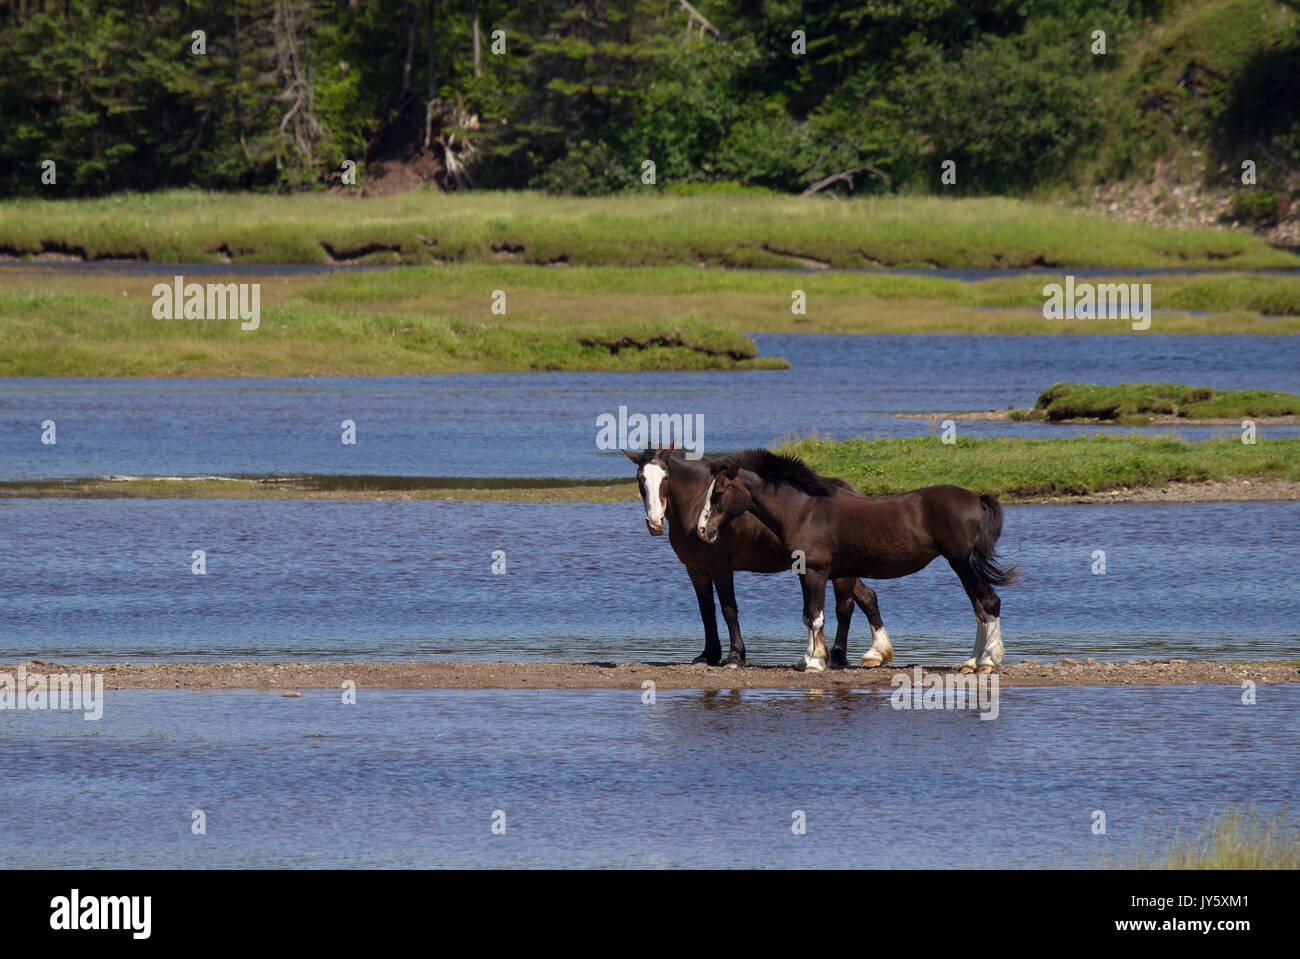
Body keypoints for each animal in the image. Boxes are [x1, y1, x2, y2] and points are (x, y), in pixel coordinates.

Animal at [625, 445, 893, 669]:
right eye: (640, 479)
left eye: (665, 478)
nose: (655, 522)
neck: (696, 505)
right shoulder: (696, 569)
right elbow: (706, 611)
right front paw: (708, 655)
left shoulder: (721, 566)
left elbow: (728, 609)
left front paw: (735, 657)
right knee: (867, 597)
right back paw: (871, 653)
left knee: (844, 607)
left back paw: (837, 656)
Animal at [695, 449, 1017, 673]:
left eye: (719, 492)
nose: (702, 530)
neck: (804, 511)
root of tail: (977, 499)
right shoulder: (806, 572)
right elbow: (808, 615)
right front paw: (810, 658)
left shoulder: (816, 571)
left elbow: (816, 616)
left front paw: (815, 662)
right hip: (961, 566)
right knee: (980, 609)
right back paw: (972, 661)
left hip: (963, 564)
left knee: (990, 603)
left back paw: (988, 661)